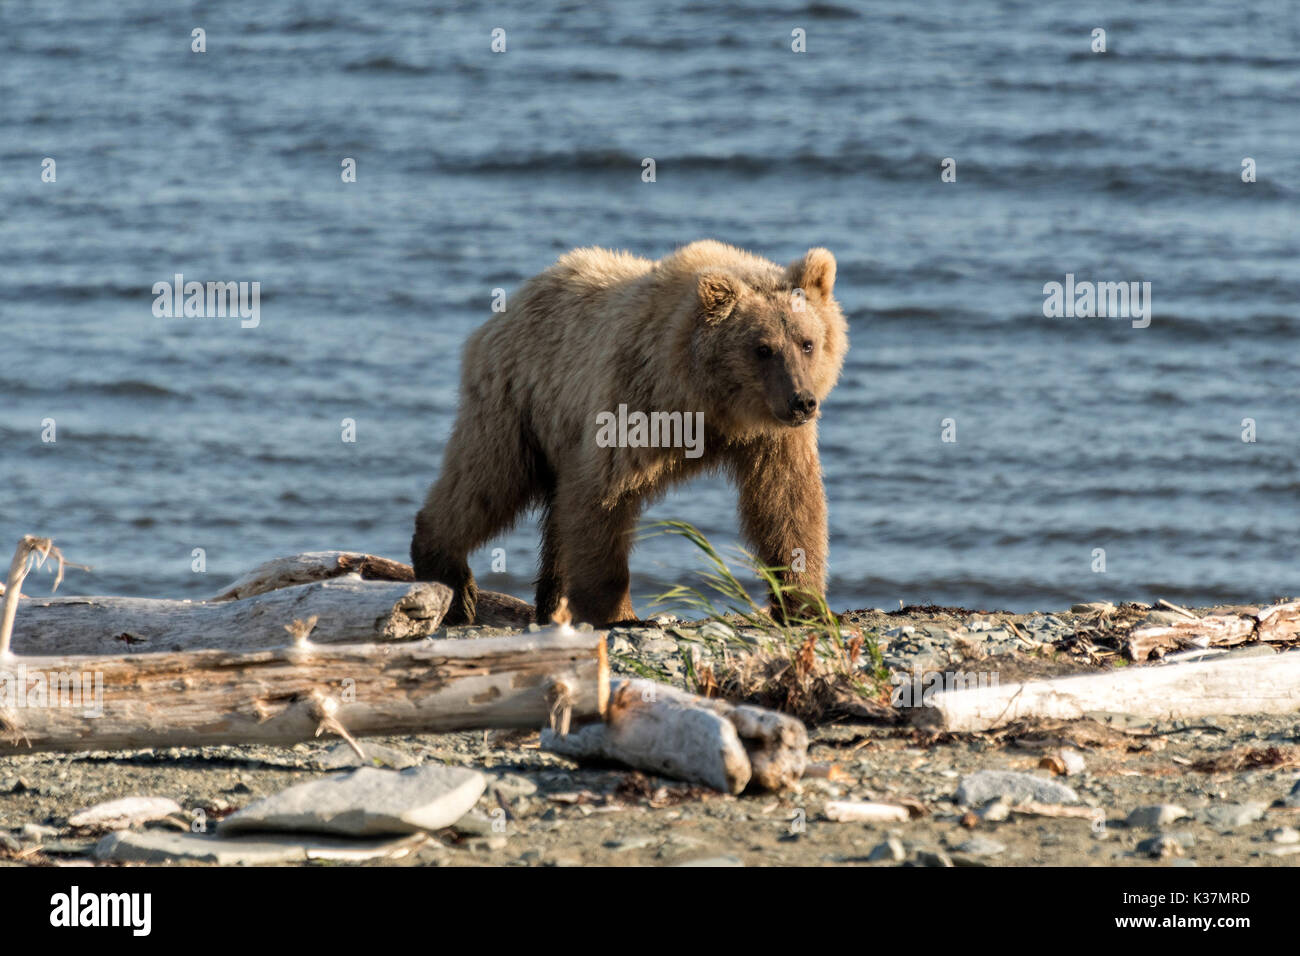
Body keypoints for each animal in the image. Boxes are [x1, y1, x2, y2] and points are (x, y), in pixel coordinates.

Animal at [411, 239, 849, 627]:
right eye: (763, 348)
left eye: (807, 342)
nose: (802, 401)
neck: (707, 403)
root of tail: (511, 304)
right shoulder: (632, 402)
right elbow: (603, 498)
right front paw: (618, 613)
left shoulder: (772, 437)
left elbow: (787, 503)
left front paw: (807, 605)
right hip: (517, 400)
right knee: (486, 481)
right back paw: (451, 580)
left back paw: (551, 602)